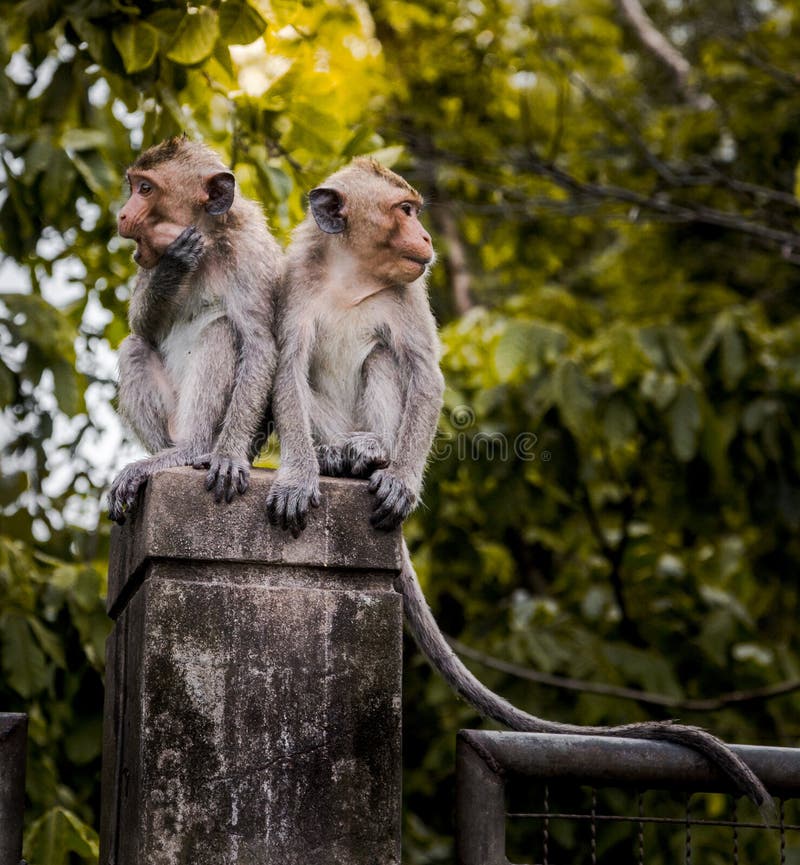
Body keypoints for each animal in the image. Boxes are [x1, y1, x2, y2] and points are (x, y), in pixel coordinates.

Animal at [108, 136, 281, 523]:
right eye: (133, 185)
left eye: (146, 189)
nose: (122, 214)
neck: (211, 242)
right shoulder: (148, 258)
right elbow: (141, 324)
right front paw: (175, 261)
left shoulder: (250, 256)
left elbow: (259, 345)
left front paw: (229, 456)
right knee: (134, 346)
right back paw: (161, 458)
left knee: (223, 330)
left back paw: (192, 449)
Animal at [264, 157, 770, 810]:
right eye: (405, 211)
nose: (425, 237)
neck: (352, 274)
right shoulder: (296, 281)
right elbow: (287, 367)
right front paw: (299, 473)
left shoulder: (408, 292)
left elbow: (425, 373)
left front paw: (401, 481)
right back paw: (332, 458)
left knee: (383, 358)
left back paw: (371, 456)